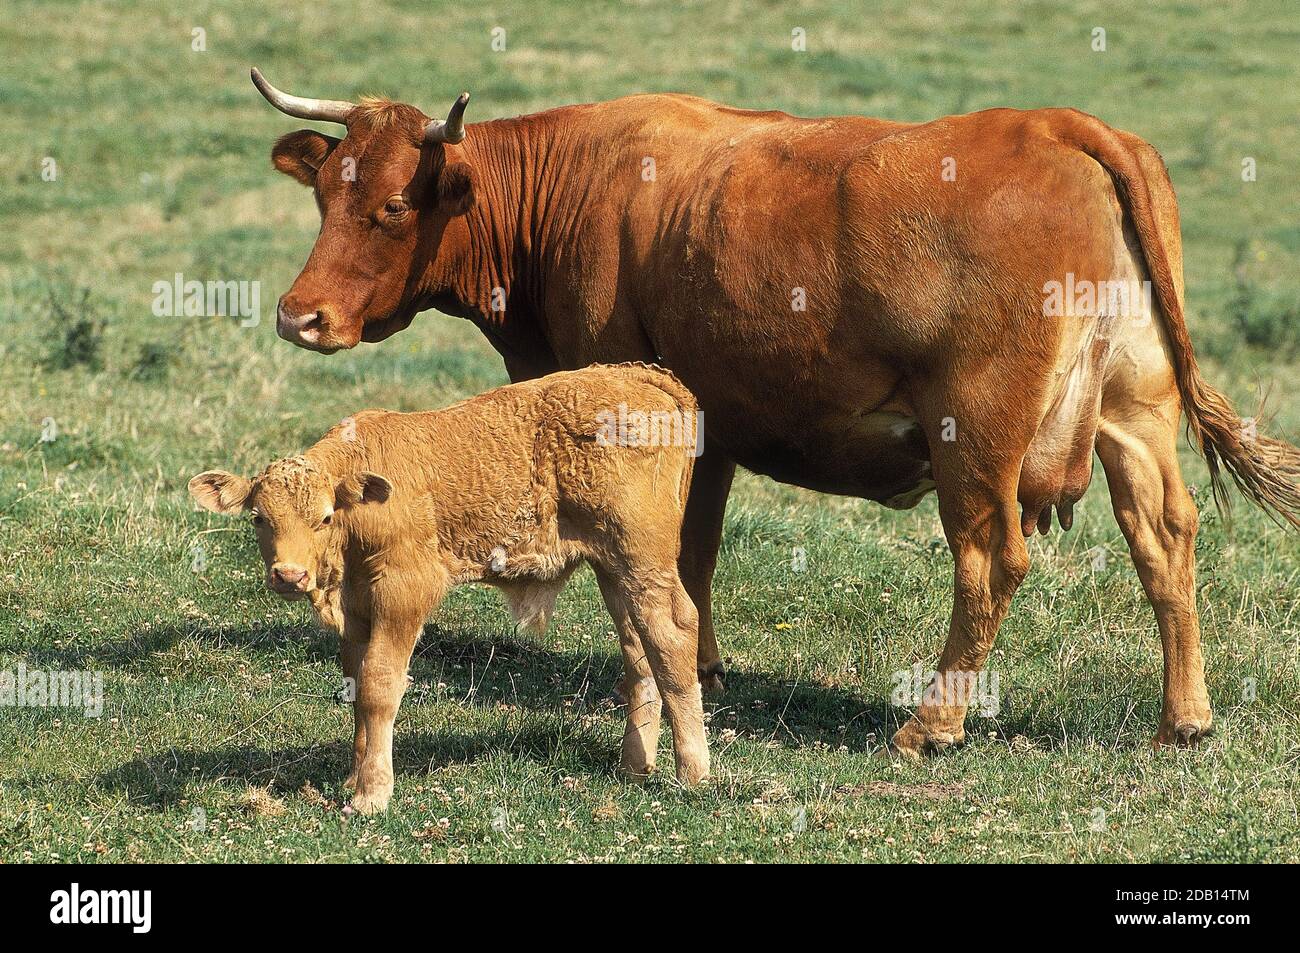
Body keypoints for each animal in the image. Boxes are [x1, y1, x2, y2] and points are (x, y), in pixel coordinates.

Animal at [189, 364, 709, 813]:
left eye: (324, 518)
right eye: (259, 518)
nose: (289, 575)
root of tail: (633, 374)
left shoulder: (404, 591)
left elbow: (379, 683)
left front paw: (371, 793)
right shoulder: (358, 607)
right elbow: (355, 680)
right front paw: (355, 776)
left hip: (644, 559)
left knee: (673, 635)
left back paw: (693, 771)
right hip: (616, 568)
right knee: (640, 650)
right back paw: (635, 766)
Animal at [249, 68, 1300, 756]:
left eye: (394, 205)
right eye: (326, 194)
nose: (299, 315)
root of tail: (1060, 125)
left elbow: (657, 561)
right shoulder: (705, 429)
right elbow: (695, 554)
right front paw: (701, 668)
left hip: (974, 433)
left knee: (991, 561)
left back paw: (933, 723)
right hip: (1133, 413)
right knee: (1165, 538)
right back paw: (1185, 716)